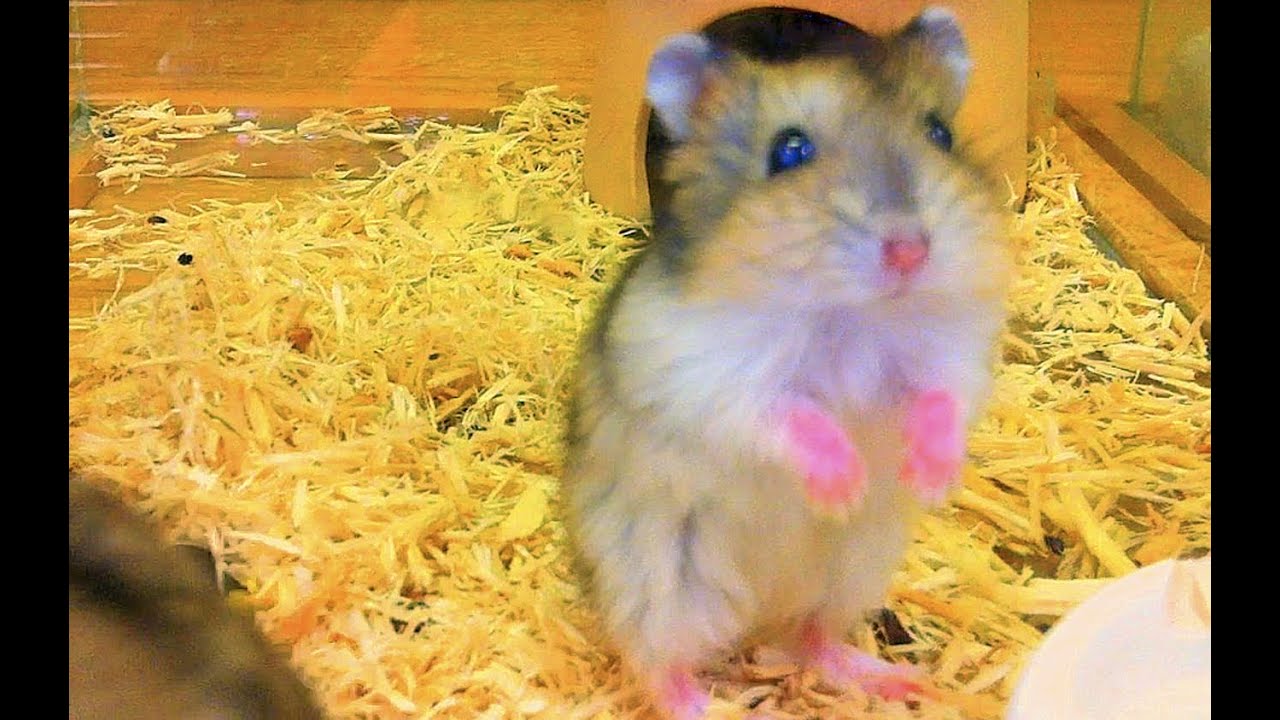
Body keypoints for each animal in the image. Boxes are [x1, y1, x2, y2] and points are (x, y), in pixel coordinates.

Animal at [564, 7, 1011, 719]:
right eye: (789, 152)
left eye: (940, 133)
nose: (911, 250)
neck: (849, 312)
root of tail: (762, 611)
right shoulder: (714, 381)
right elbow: (793, 416)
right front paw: (845, 486)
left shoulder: (954, 355)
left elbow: (940, 401)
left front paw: (927, 480)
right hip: (660, 583)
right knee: (659, 667)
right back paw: (714, 707)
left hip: (851, 572)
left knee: (812, 641)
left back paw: (902, 680)